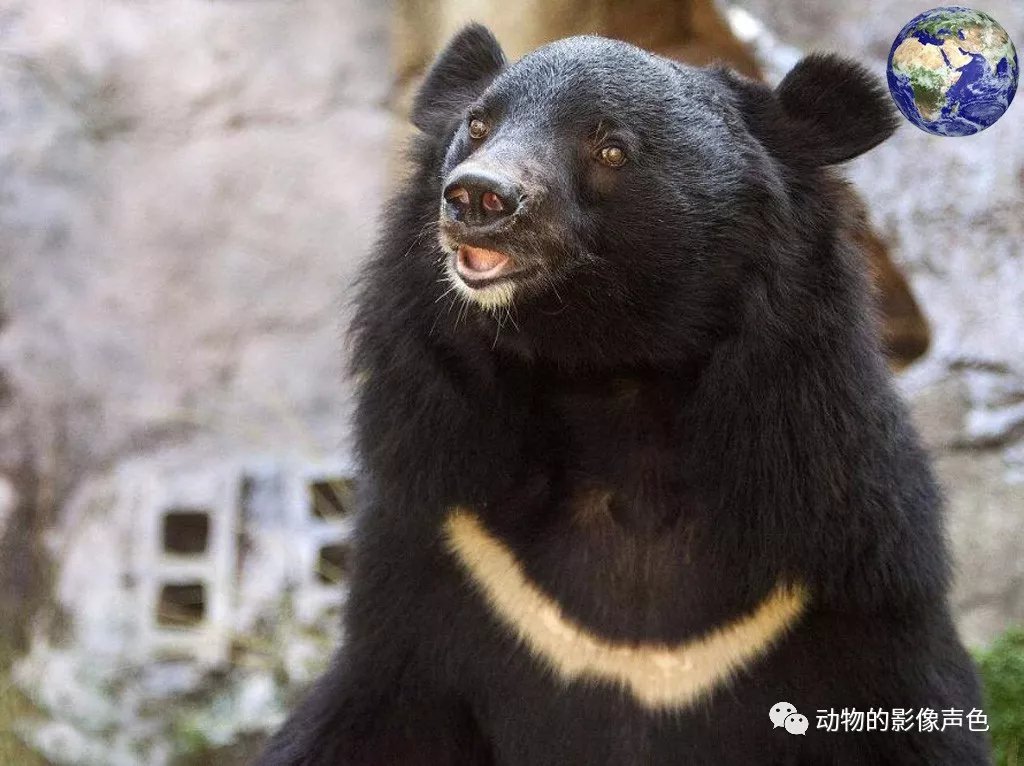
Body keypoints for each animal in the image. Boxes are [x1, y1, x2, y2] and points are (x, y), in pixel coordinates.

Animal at [258, 25, 990, 766]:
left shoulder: (847, 579)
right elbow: (368, 718)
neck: (613, 385)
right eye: (478, 124)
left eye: (611, 148)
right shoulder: (445, 546)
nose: (477, 198)